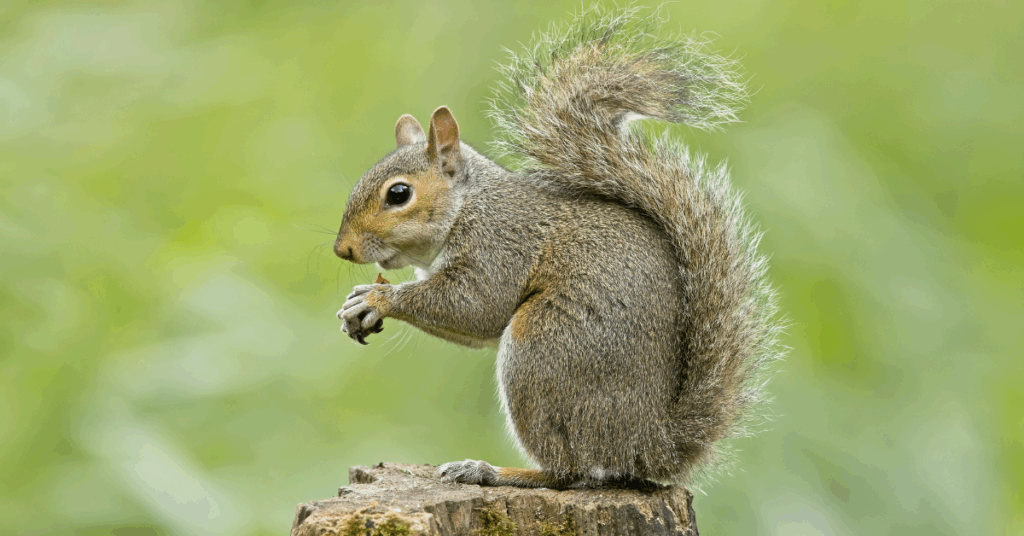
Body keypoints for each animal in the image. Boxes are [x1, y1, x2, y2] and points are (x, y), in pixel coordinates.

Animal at [333, 6, 784, 489]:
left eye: (399, 194)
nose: (342, 250)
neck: (468, 206)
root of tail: (648, 446)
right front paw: (358, 303)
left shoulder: (500, 245)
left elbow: (476, 306)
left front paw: (378, 298)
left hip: (542, 352)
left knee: (568, 470)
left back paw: (492, 471)